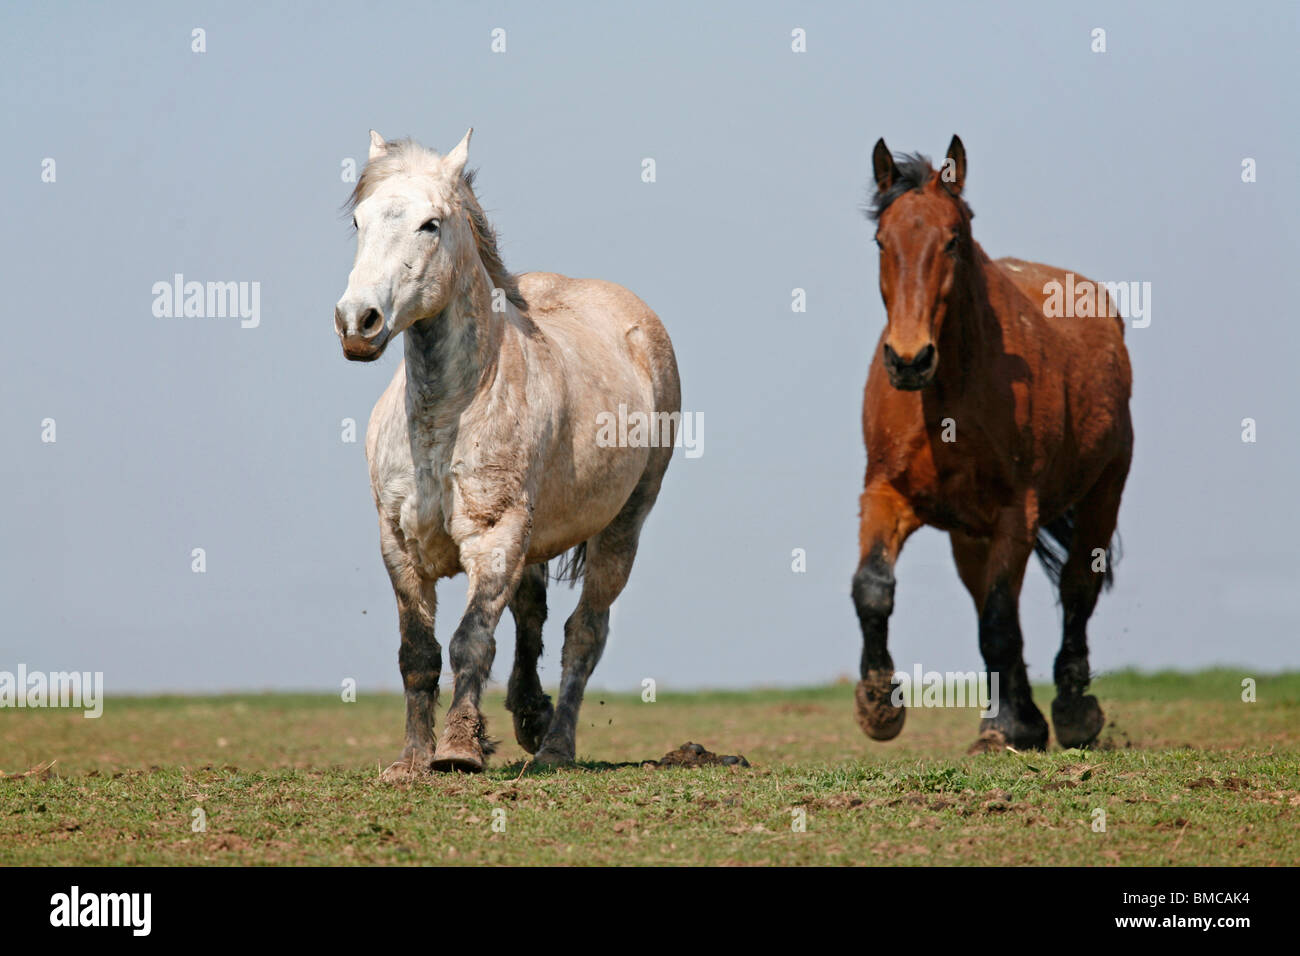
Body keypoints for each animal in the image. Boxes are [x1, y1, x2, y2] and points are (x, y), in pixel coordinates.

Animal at [334, 129, 681, 775]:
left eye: (431, 224)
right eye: (360, 221)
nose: (357, 322)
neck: (443, 419)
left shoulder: (495, 536)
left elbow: (470, 640)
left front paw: (459, 750)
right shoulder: (397, 543)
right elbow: (417, 652)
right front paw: (411, 760)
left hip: (623, 525)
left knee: (584, 634)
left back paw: (555, 747)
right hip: (538, 535)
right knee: (533, 616)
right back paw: (530, 716)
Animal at [851, 136, 1133, 752]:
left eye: (952, 240)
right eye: (881, 240)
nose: (909, 359)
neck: (949, 398)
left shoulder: (1015, 512)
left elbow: (1001, 622)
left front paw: (1012, 728)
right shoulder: (886, 494)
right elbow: (873, 588)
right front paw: (879, 706)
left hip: (1103, 493)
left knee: (1076, 588)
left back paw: (1072, 711)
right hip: (968, 535)